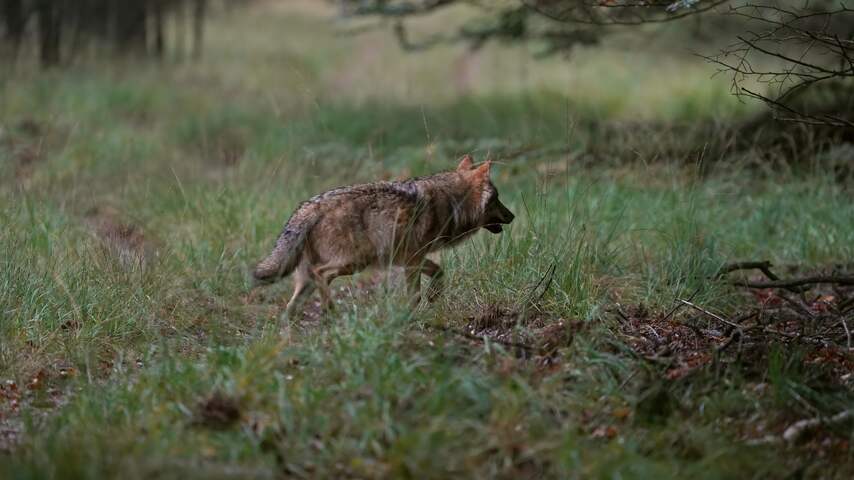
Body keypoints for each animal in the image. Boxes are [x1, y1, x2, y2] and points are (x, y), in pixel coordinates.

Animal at [253, 155, 514, 318]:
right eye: (498, 198)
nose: (512, 216)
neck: (451, 203)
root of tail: (310, 206)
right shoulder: (412, 261)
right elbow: (415, 294)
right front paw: (411, 315)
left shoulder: (411, 259)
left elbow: (439, 272)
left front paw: (433, 296)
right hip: (353, 263)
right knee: (322, 275)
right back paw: (331, 313)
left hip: (309, 278)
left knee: (290, 308)